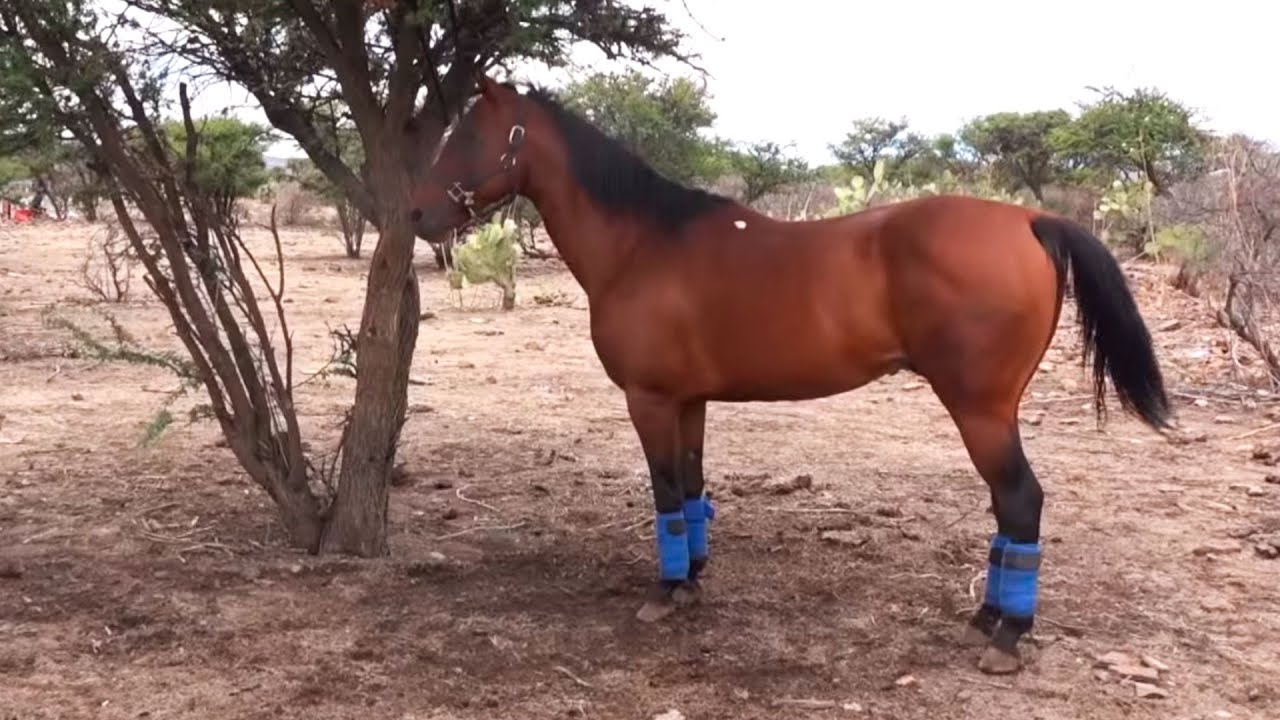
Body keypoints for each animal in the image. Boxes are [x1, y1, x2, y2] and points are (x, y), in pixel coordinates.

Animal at [407, 73, 1172, 675]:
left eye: (468, 137)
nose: (416, 213)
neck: (643, 245)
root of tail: (1032, 219)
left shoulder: (649, 401)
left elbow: (664, 492)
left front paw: (662, 593)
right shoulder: (689, 401)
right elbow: (692, 490)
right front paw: (693, 581)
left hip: (981, 410)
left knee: (1020, 501)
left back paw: (1006, 634)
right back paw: (989, 618)